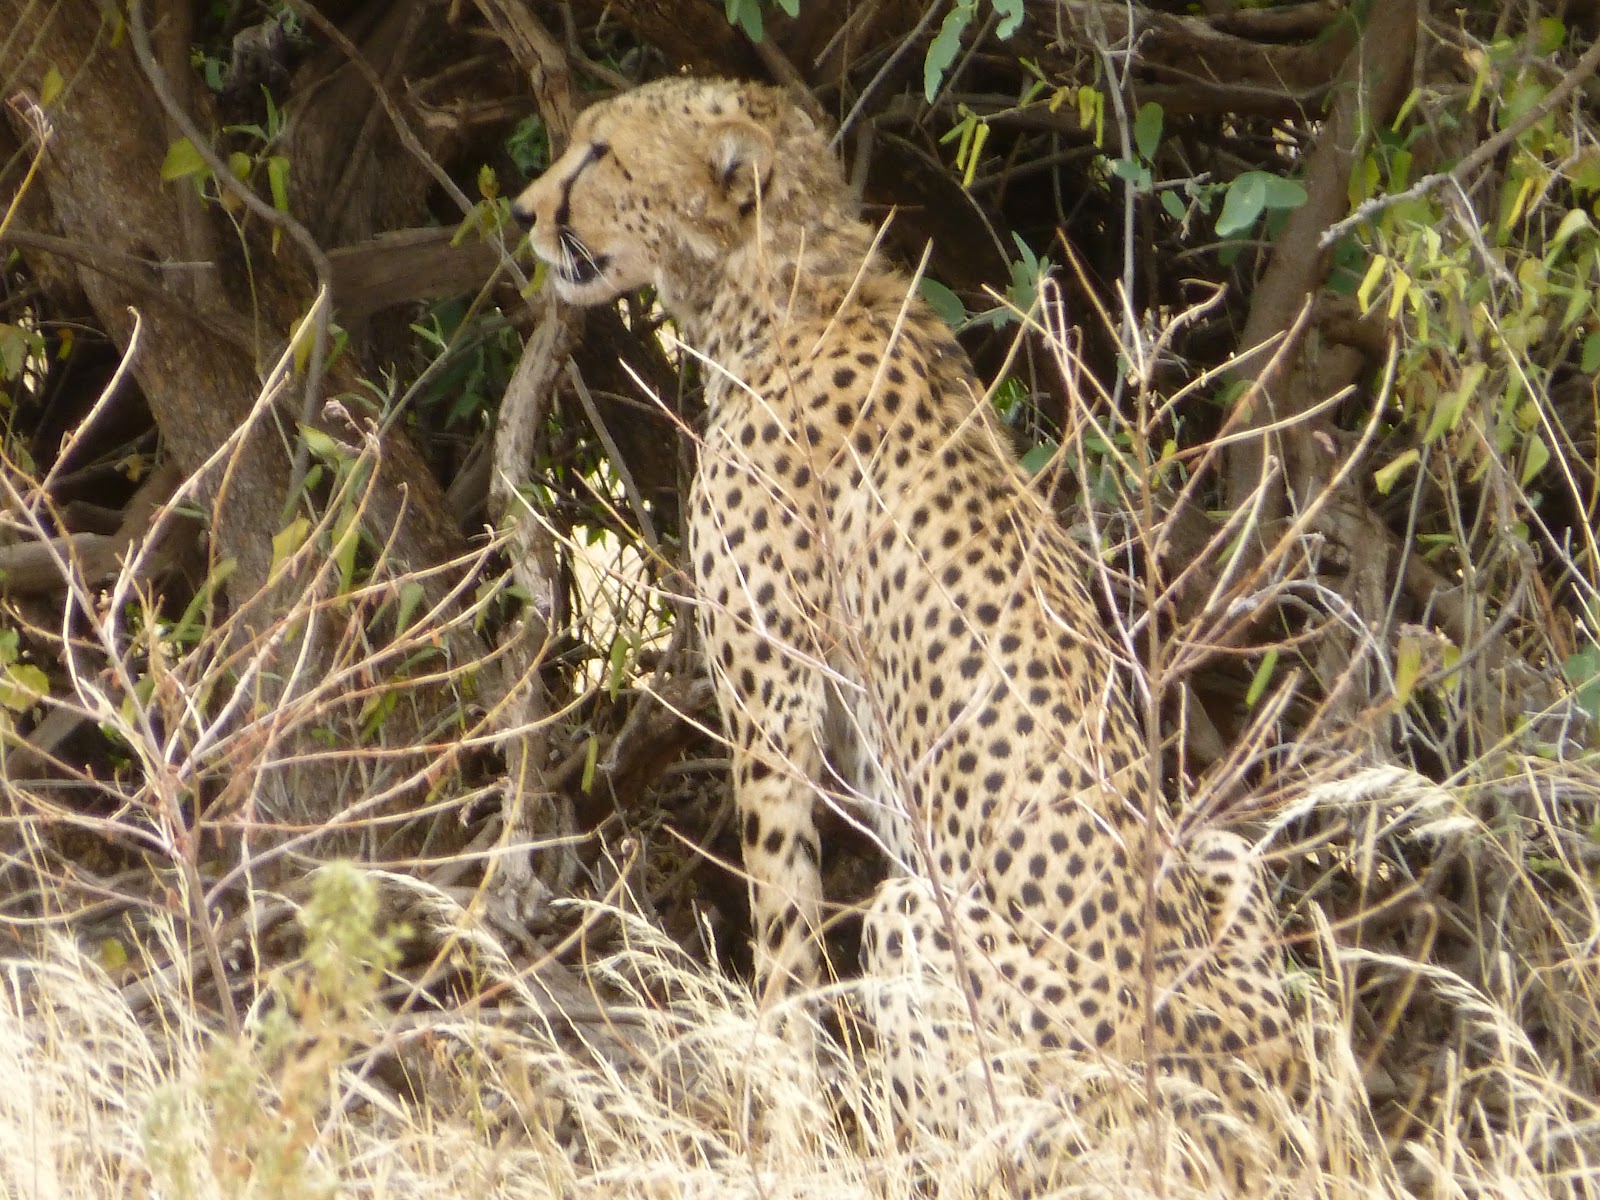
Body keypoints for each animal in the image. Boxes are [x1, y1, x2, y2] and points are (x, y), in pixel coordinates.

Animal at [512, 76, 1304, 1191]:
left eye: (601, 154)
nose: (525, 212)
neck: (787, 289)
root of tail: (1248, 1136)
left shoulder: (773, 705)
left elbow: (785, 936)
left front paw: (787, 1135)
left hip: (927, 927)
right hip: (1223, 859)